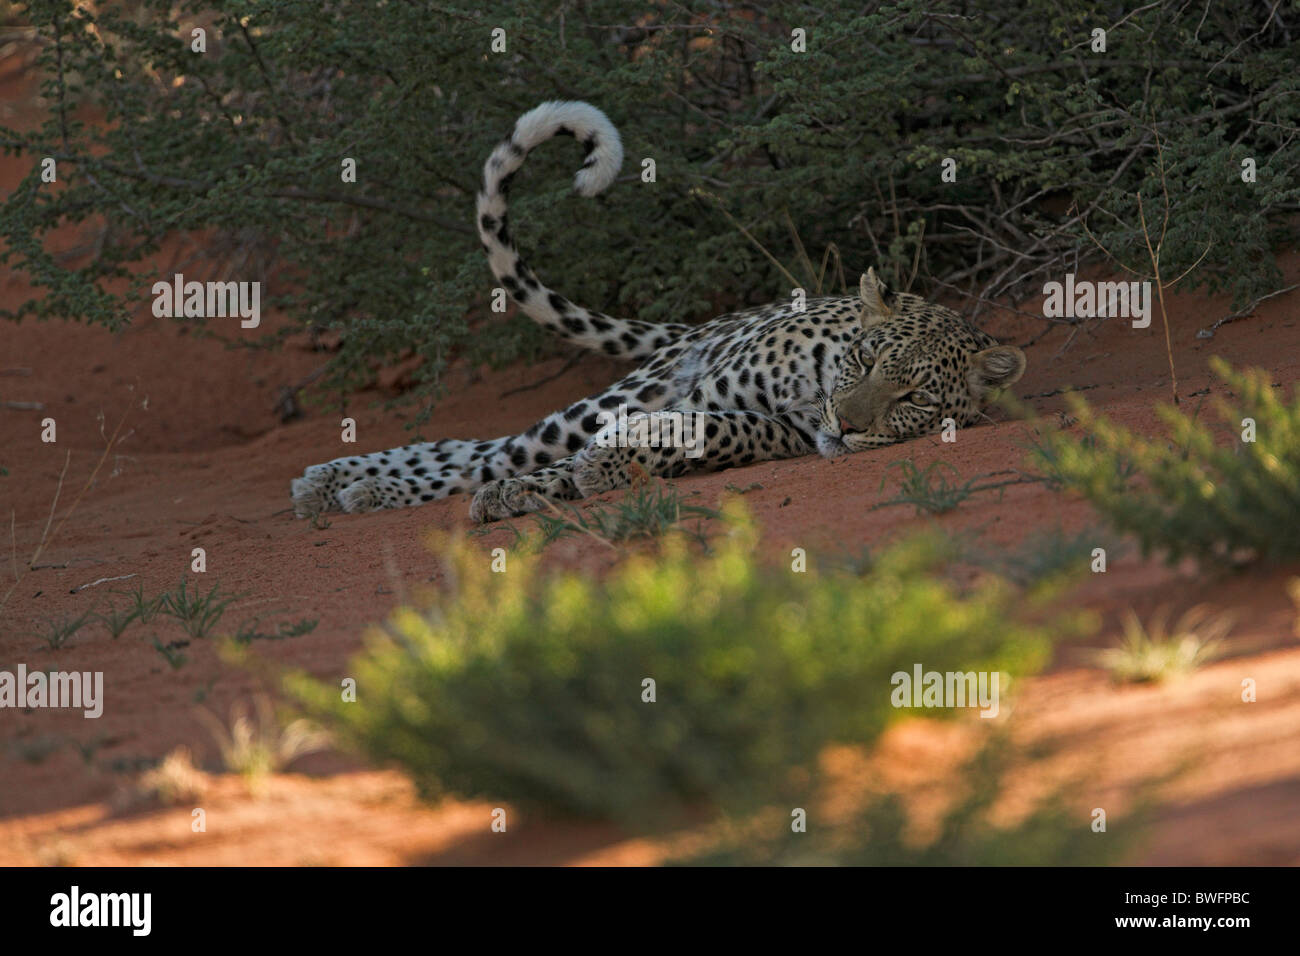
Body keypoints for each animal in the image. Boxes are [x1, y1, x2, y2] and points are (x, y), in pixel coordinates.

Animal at [290, 101, 1027, 523]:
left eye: (914, 398)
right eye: (867, 360)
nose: (846, 425)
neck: (818, 382)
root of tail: (699, 325)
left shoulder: (776, 433)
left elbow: (704, 437)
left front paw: (593, 475)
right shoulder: (695, 396)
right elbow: (651, 433)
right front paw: (561, 480)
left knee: (479, 459)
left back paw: (363, 491)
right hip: (615, 396)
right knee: (485, 453)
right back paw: (337, 482)